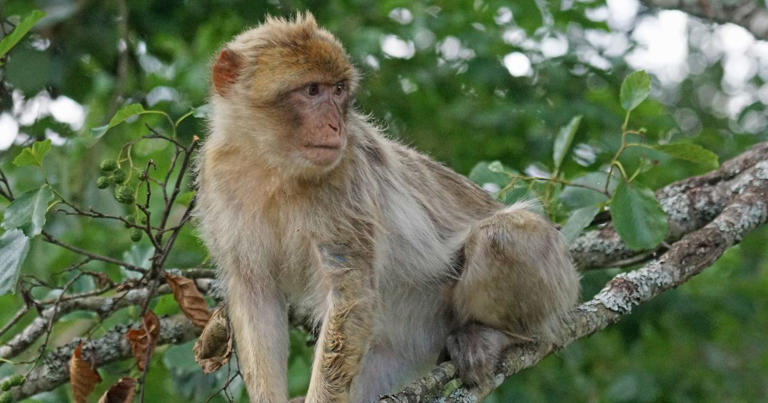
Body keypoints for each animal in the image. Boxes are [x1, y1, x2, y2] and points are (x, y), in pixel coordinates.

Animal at [195, 12, 579, 403]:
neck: (272, 165)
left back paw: (494, 337)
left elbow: (351, 297)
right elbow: (256, 295)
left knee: (503, 237)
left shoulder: (344, 179)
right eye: (312, 90)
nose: (335, 125)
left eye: (338, 90)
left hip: (552, 276)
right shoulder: (216, 178)